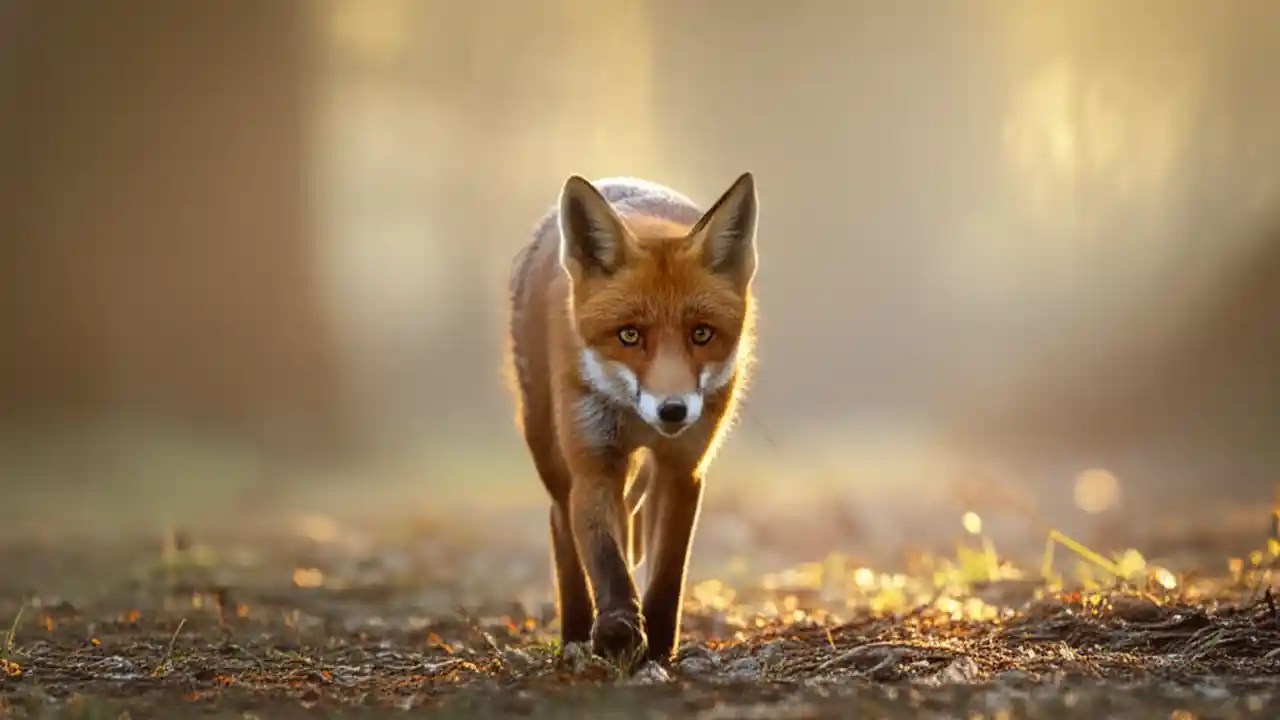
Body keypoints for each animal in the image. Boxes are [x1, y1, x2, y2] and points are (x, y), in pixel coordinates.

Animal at [505, 172, 759, 666]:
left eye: (702, 333)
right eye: (629, 335)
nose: (673, 409)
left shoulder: (682, 466)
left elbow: (667, 575)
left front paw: (658, 647)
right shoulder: (595, 461)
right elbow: (606, 557)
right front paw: (619, 632)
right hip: (550, 448)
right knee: (563, 524)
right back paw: (575, 634)